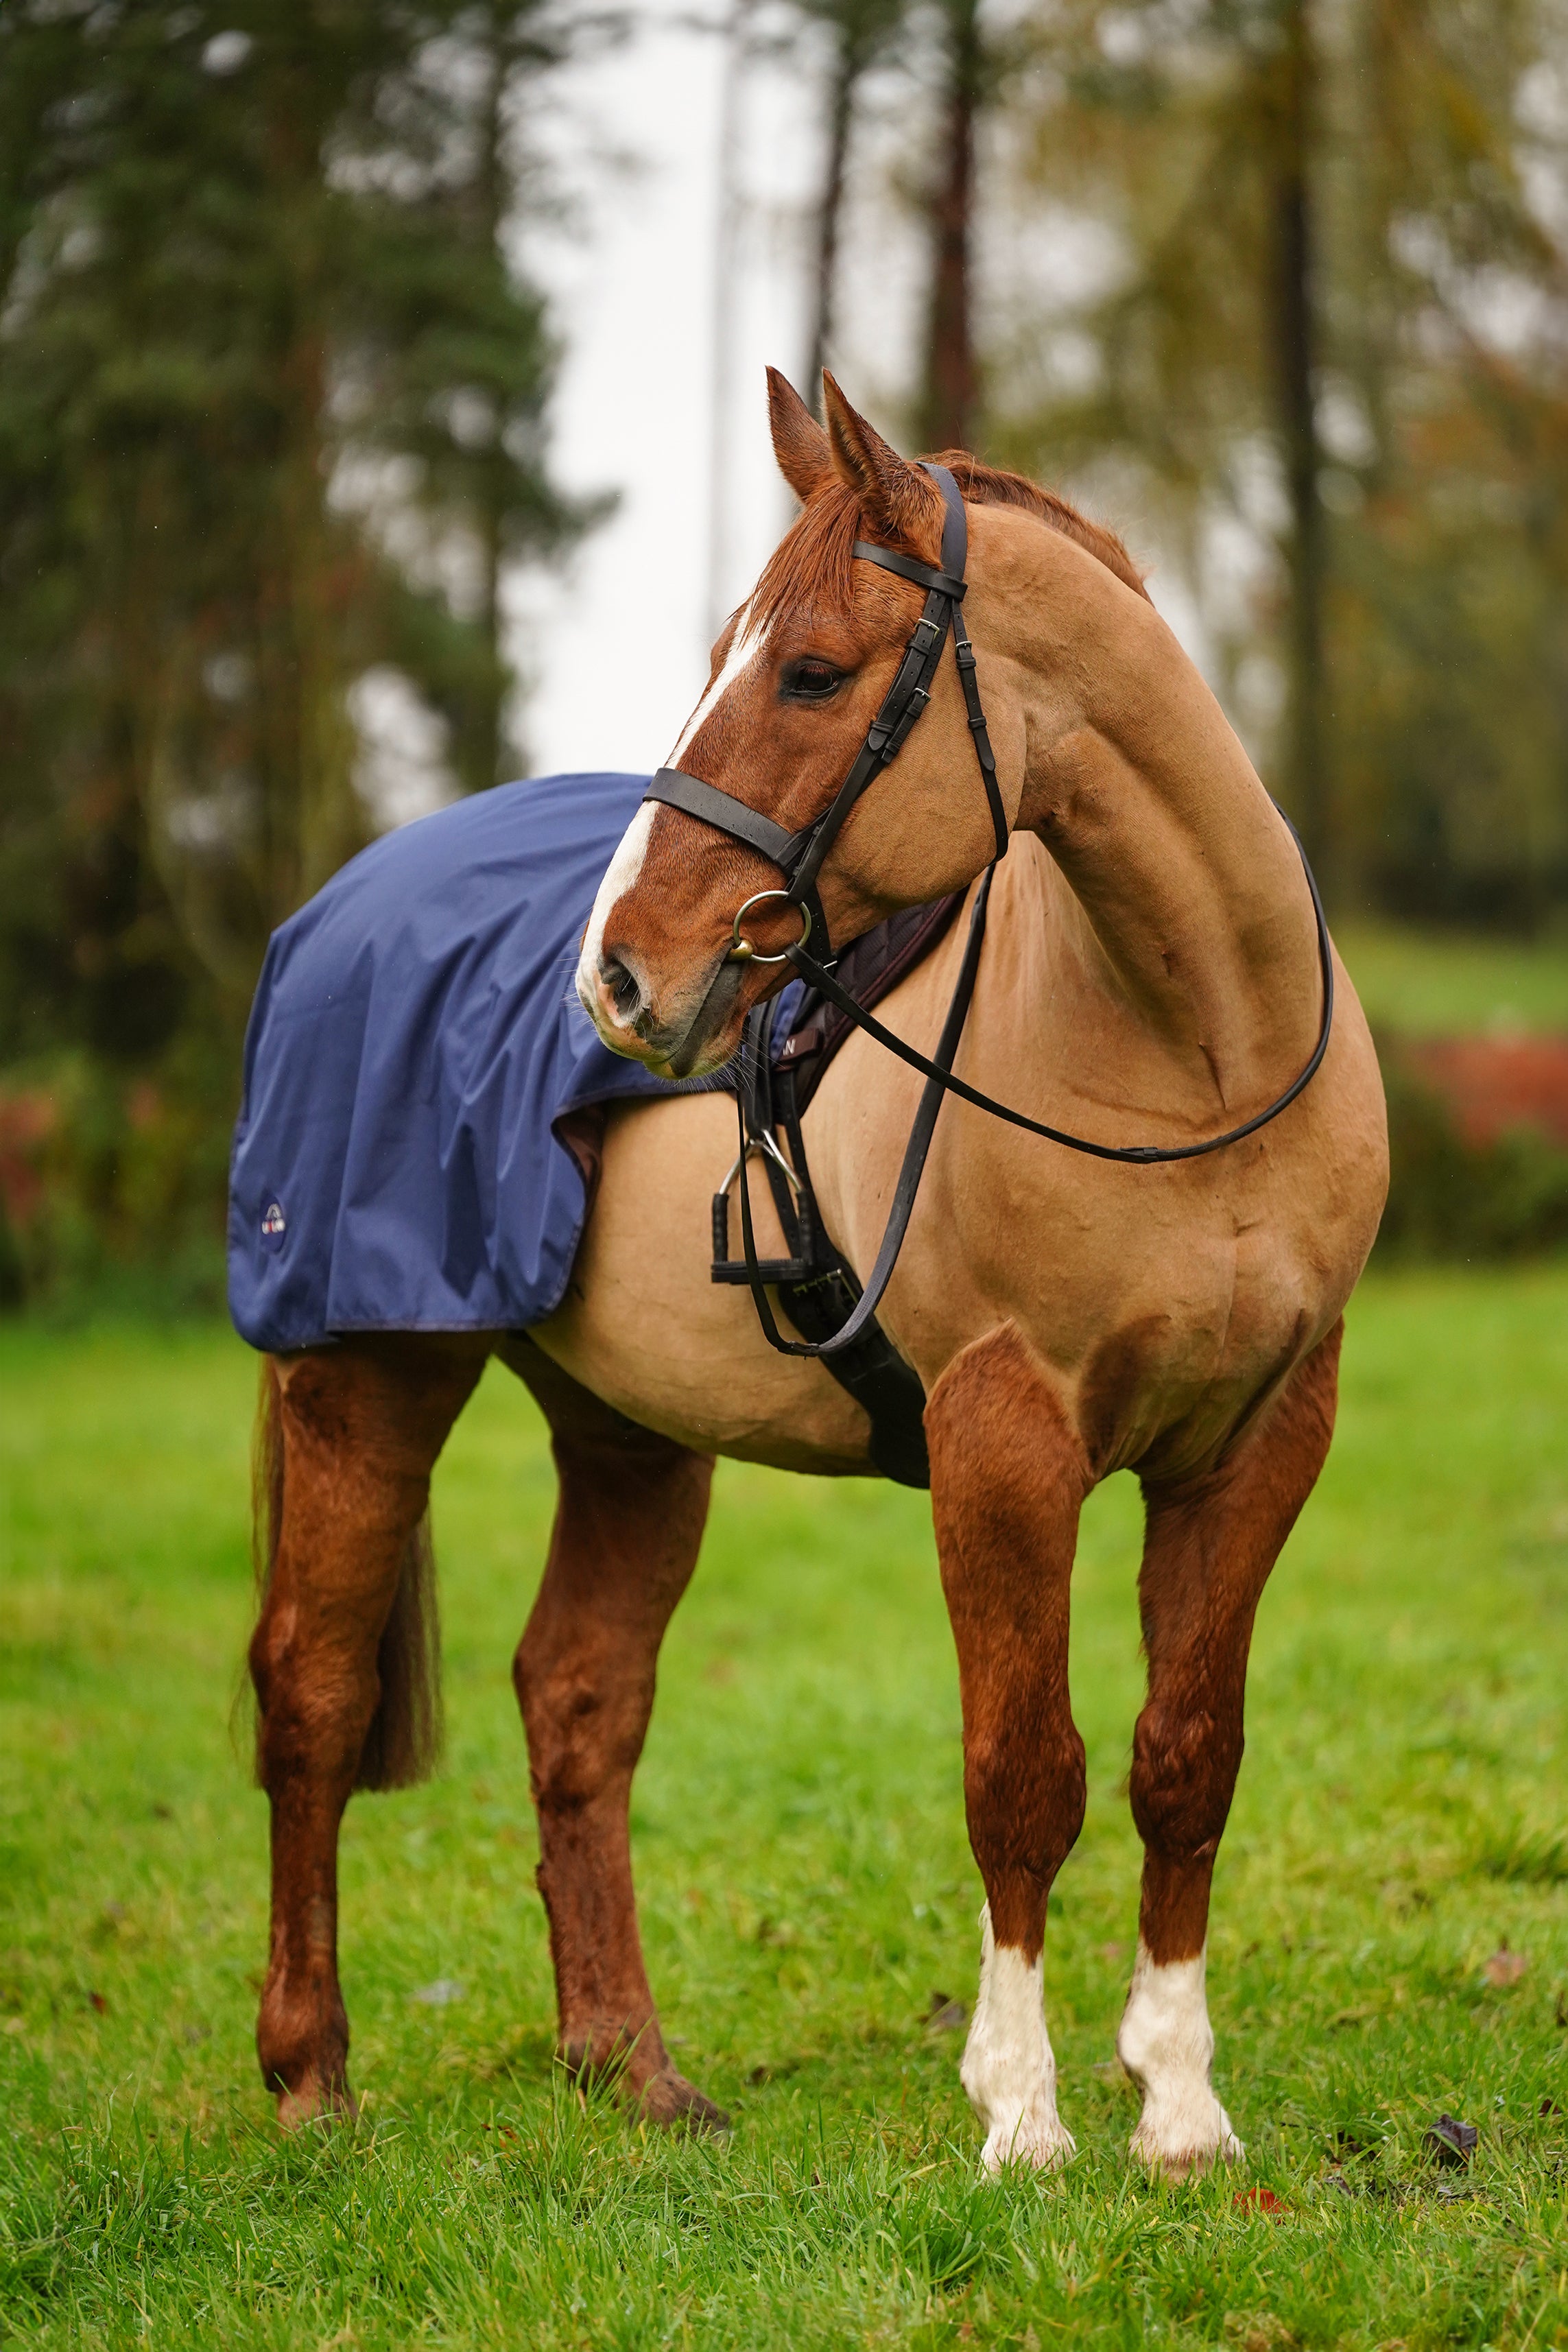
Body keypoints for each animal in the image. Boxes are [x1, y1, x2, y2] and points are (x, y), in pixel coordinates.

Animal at [245, 369, 1387, 2177]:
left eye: (809, 669)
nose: (621, 972)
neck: (1195, 1051)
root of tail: (337, 911)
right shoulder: (1004, 1441)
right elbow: (1023, 1770)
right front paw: (1022, 2112)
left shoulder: (1256, 1441)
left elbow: (1184, 1759)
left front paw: (1180, 2107)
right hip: (365, 1378)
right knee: (312, 1690)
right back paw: (308, 2074)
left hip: (628, 1432)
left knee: (578, 1700)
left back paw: (629, 2067)